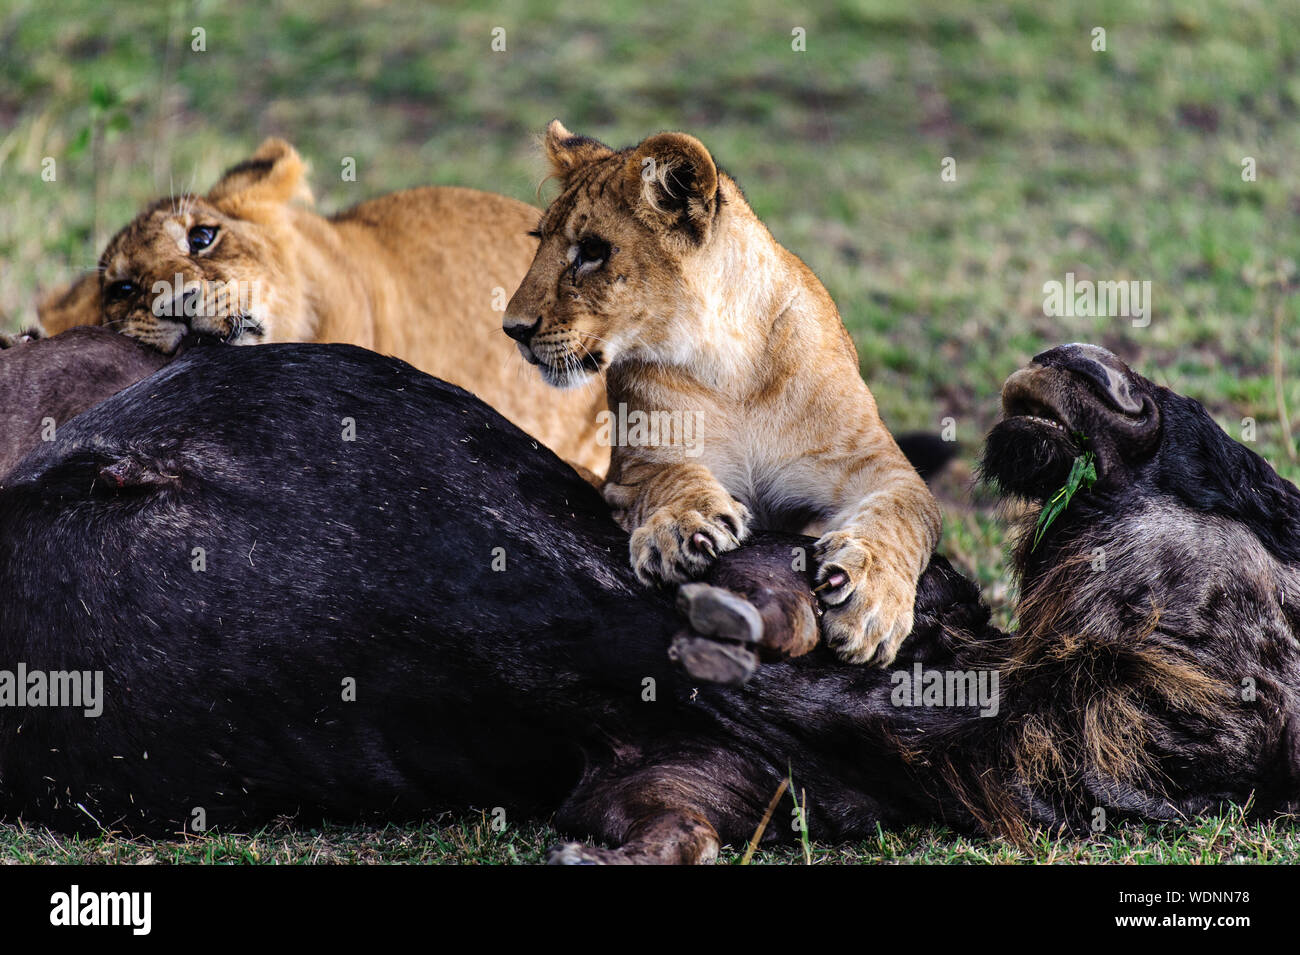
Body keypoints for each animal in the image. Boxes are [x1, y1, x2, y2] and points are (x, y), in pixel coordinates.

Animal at [504, 122, 943, 665]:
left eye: (592, 251)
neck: (731, 367)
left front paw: (871, 603)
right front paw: (682, 527)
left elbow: (902, 516)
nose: (513, 329)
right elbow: (671, 476)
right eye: (538, 241)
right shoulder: (634, 467)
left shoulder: (884, 467)